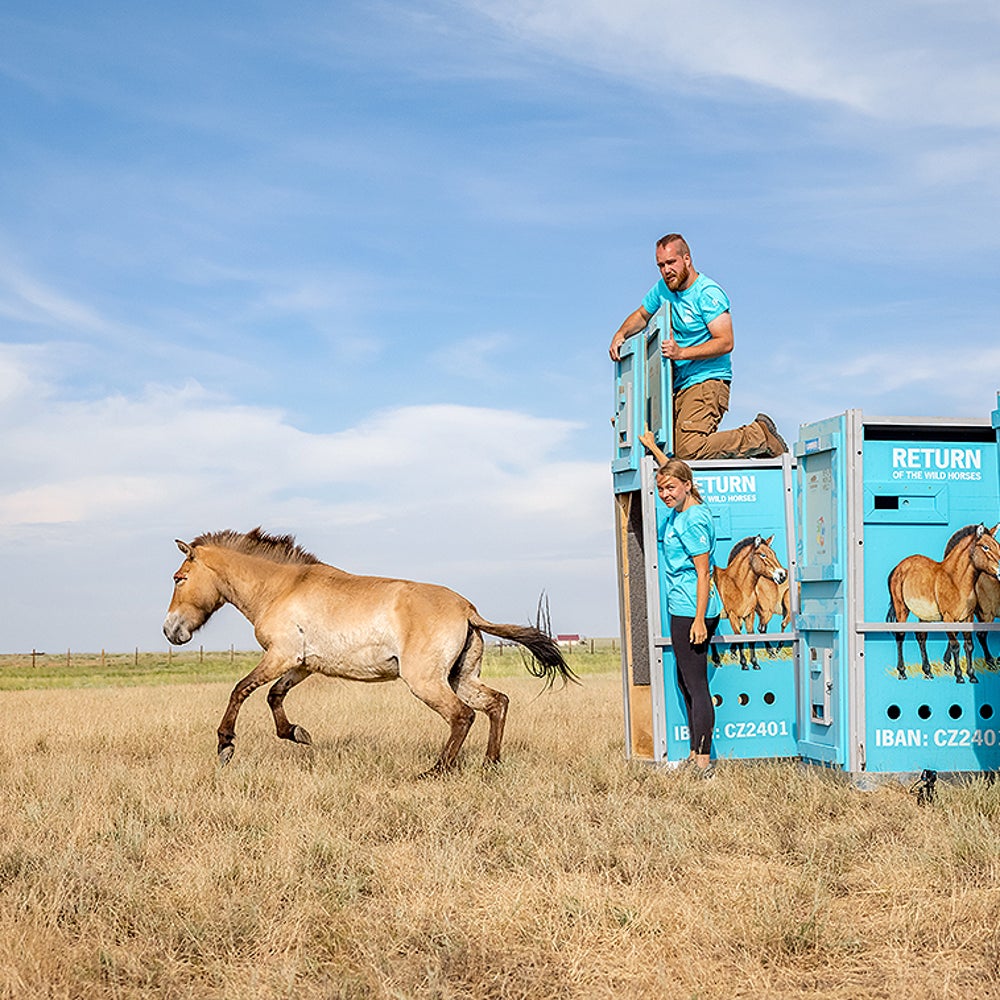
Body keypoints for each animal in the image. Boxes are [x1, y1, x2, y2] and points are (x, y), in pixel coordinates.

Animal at [162, 528, 578, 773]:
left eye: (179, 579)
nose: (170, 631)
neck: (282, 588)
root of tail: (467, 610)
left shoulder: (280, 656)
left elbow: (241, 690)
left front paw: (225, 746)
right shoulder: (302, 664)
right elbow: (274, 696)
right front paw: (297, 733)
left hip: (426, 681)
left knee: (462, 716)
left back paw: (436, 771)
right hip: (460, 677)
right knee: (496, 704)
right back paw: (491, 765)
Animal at [712, 535, 788, 670]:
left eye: (773, 553)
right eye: (763, 555)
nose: (782, 575)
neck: (738, 585)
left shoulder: (749, 615)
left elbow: (751, 637)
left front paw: (754, 663)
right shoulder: (733, 616)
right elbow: (739, 638)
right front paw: (744, 663)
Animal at [886, 523, 1000, 683]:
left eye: (998, 545)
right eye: (985, 547)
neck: (956, 580)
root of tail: (899, 566)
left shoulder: (967, 617)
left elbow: (969, 645)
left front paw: (972, 676)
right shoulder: (948, 618)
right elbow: (955, 645)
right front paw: (959, 676)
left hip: (924, 615)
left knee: (921, 637)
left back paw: (928, 672)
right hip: (901, 608)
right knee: (900, 635)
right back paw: (902, 672)